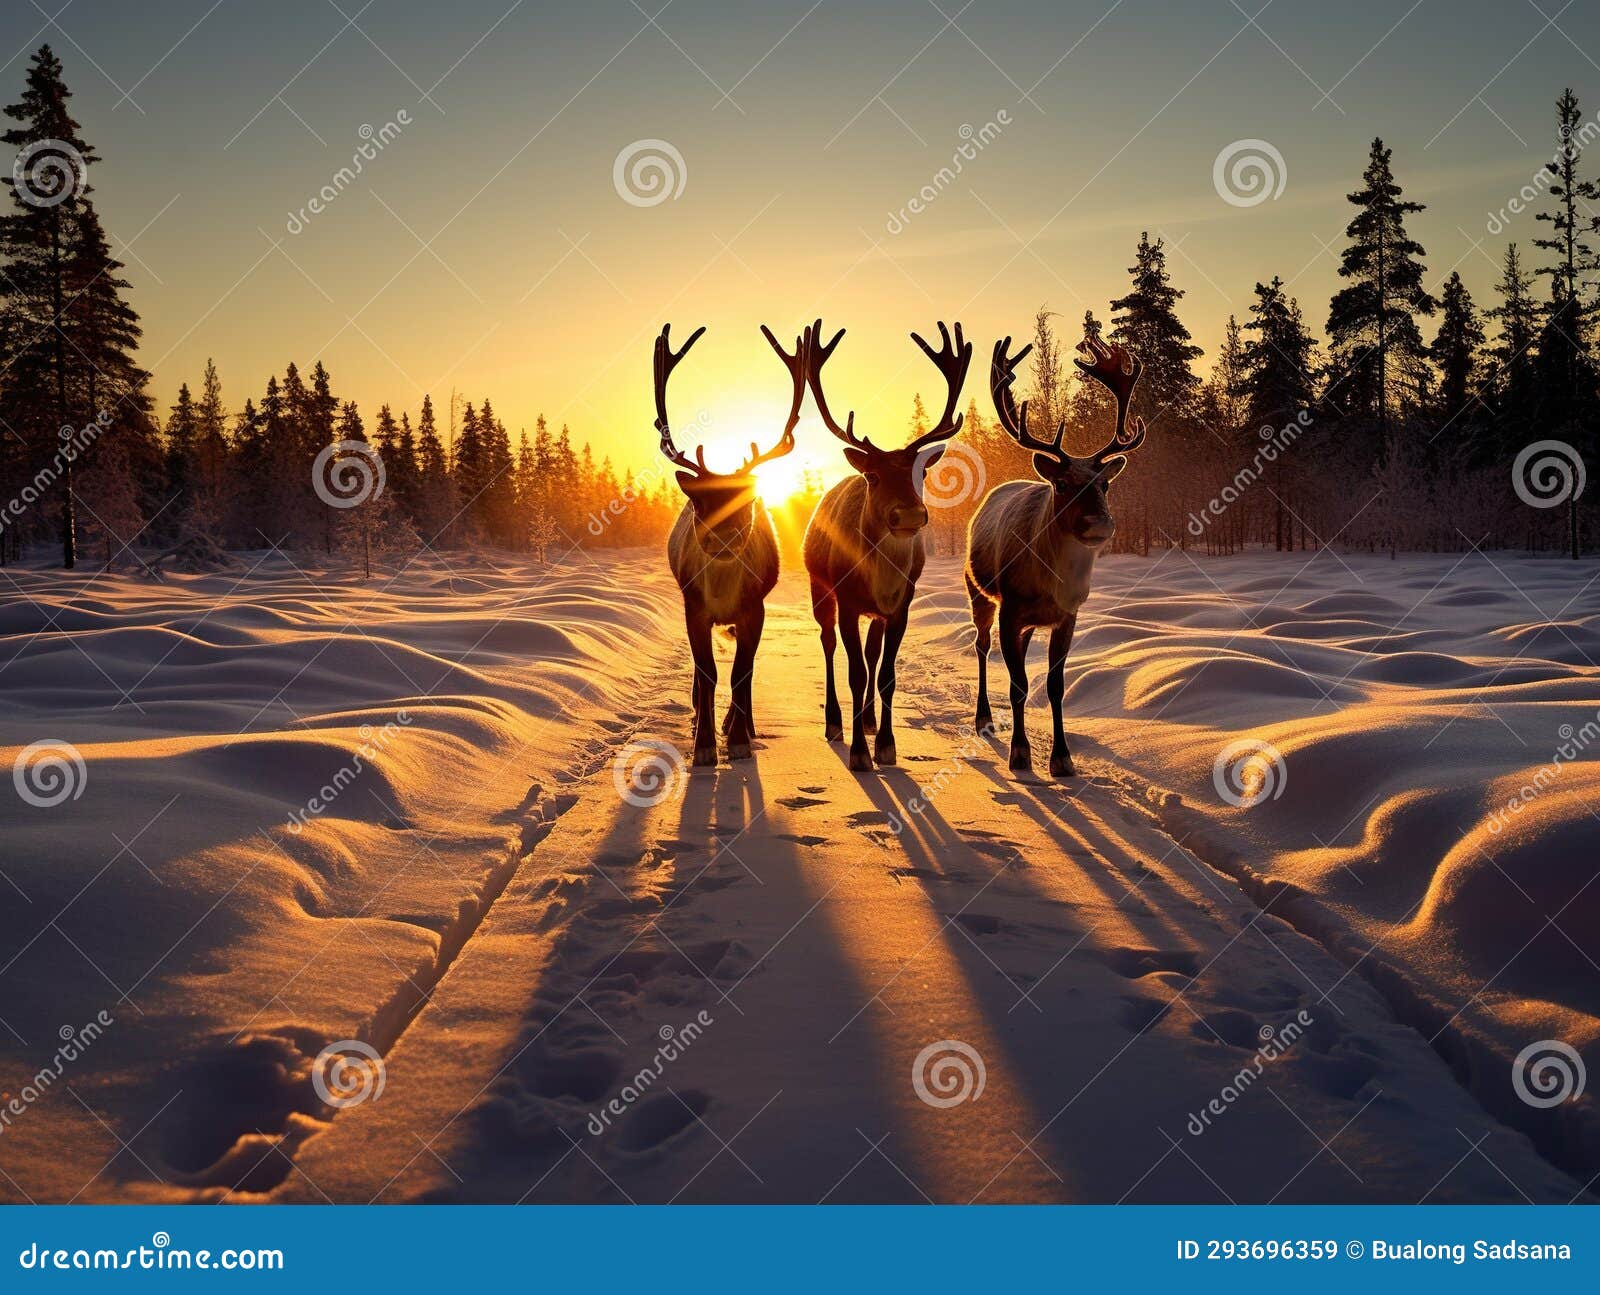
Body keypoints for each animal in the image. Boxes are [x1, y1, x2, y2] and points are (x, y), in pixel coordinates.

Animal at [657, 322, 807, 767]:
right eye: (700, 502)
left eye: (743, 502)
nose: (723, 539)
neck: (723, 590)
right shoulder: (693, 607)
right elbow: (706, 671)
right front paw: (703, 746)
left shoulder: (753, 607)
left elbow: (742, 670)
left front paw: (738, 739)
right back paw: (698, 721)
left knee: (748, 669)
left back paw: (744, 724)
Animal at [802, 318, 972, 772]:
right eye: (874, 476)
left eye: (921, 474)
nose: (909, 515)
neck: (881, 578)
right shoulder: (847, 599)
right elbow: (856, 673)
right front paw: (860, 753)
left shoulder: (901, 605)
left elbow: (886, 674)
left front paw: (887, 746)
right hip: (819, 587)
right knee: (828, 645)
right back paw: (835, 723)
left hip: (875, 614)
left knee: (872, 654)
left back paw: (870, 720)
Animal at [965, 332, 1146, 778]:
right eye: (1062, 484)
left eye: (1105, 484)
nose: (1099, 523)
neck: (1051, 583)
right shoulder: (1011, 610)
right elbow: (1018, 685)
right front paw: (1020, 753)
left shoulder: (1067, 616)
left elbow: (1054, 686)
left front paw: (1062, 759)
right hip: (978, 591)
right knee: (981, 646)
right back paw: (983, 718)